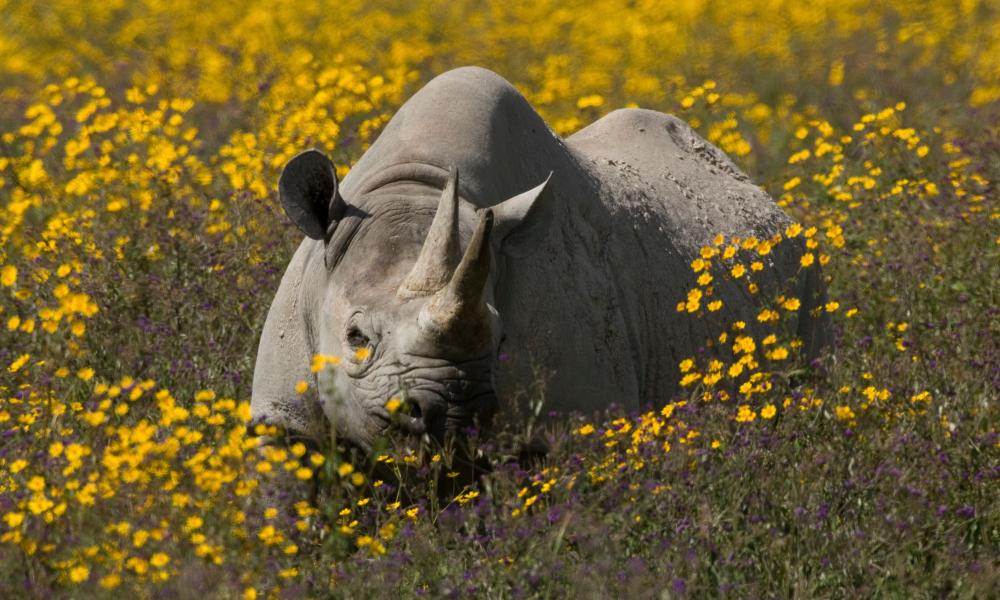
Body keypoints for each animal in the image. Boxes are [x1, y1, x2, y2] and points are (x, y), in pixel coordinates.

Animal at [251, 66, 829, 453]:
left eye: (502, 338)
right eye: (355, 338)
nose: (453, 413)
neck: (416, 188)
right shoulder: (282, 414)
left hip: (808, 270)